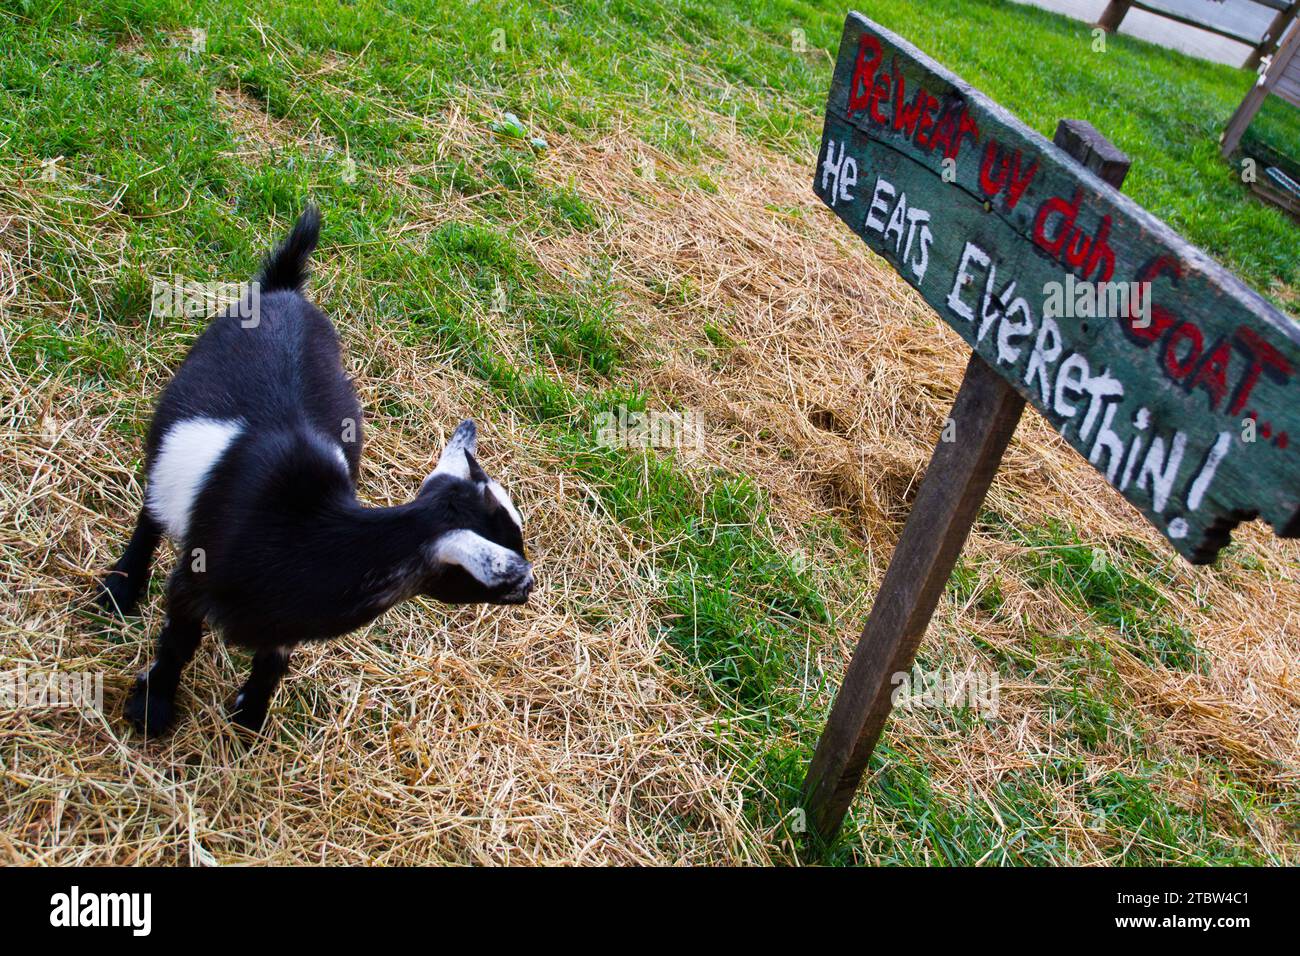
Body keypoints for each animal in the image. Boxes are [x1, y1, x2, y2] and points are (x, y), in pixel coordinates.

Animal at [96, 207, 533, 736]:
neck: (306, 534)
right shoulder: (192, 581)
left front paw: (250, 716)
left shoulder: (290, 617)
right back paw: (121, 588)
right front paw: (153, 707)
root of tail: (283, 293)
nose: (530, 587)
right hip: (165, 439)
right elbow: (179, 641)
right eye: (503, 573)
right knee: (152, 510)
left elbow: (273, 659)